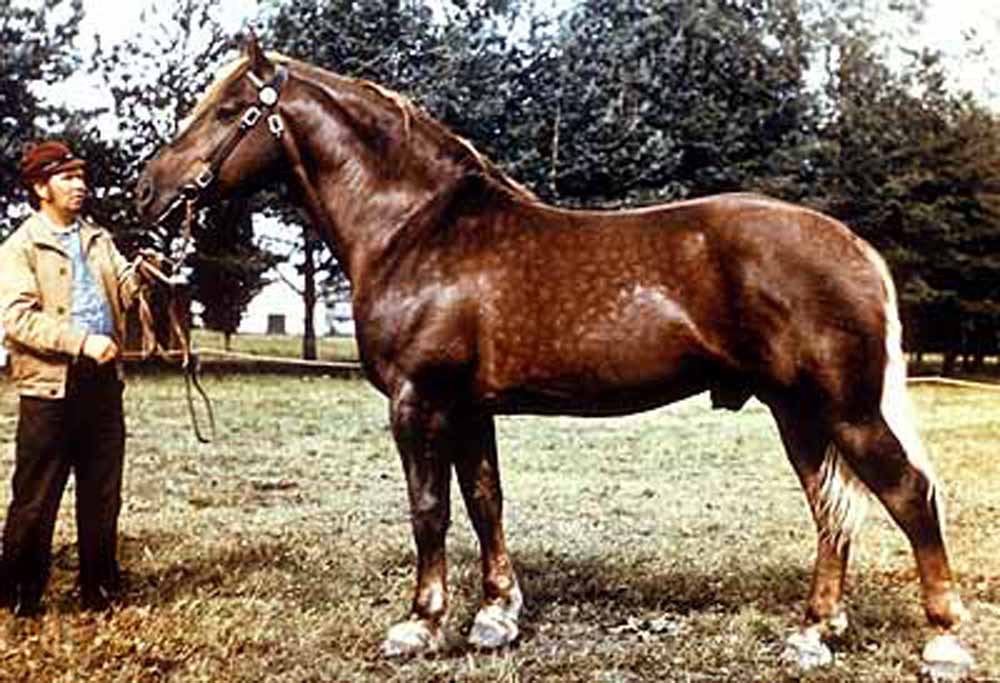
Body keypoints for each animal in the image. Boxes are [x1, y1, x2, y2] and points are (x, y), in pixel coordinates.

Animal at [136, 34, 972, 675]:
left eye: (227, 111)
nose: (150, 189)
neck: (415, 227)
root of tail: (855, 246)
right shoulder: (469, 407)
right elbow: (485, 500)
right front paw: (496, 614)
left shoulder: (419, 400)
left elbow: (430, 509)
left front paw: (420, 622)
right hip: (798, 412)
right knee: (833, 513)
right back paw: (813, 632)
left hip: (845, 409)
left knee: (908, 495)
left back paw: (942, 638)